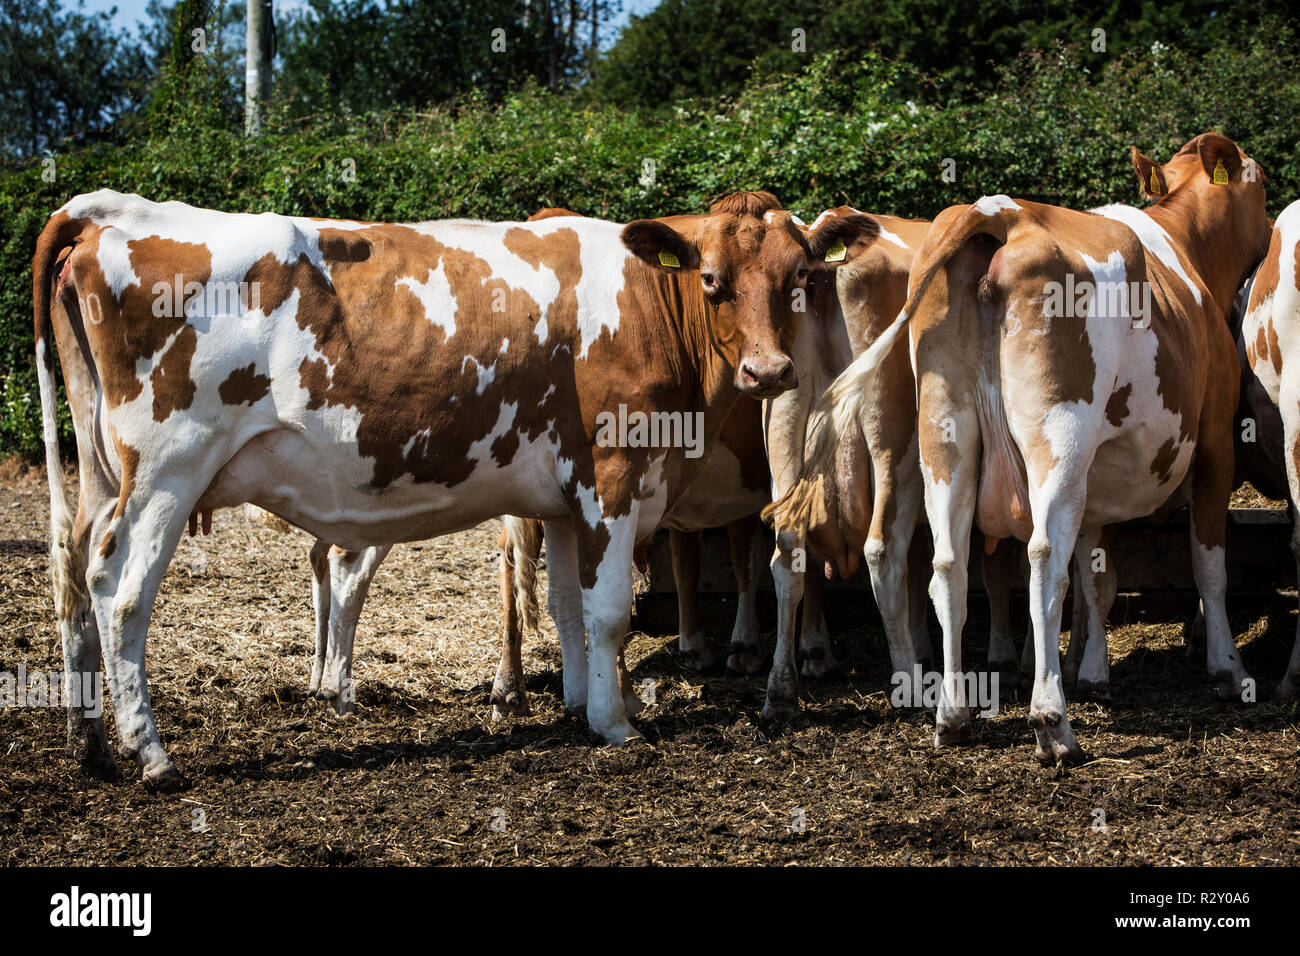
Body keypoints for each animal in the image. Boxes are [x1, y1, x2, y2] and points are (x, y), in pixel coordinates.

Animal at [34, 188, 878, 787]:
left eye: (800, 278)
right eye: (711, 280)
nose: (769, 372)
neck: (647, 311)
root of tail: (112, 210)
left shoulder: (562, 499)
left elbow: (569, 611)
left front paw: (582, 706)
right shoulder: (613, 478)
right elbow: (608, 613)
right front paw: (617, 726)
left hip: (105, 476)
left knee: (76, 574)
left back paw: (89, 743)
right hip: (168, 471)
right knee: (121, 591)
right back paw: (150, 754)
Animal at [772, 133, 1269, 764]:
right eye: (1262, 186)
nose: (1271, 231)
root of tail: (998, 212)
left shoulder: (1096, 484)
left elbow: (1097, 579)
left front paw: (1094, 670)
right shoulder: (1214, 448)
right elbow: (1207, 567)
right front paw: (1228, 669)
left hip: (940, 438)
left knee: (943, 563)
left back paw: (951, 715)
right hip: (1056, 437)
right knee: (1041, 560)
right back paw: (1051, 722)